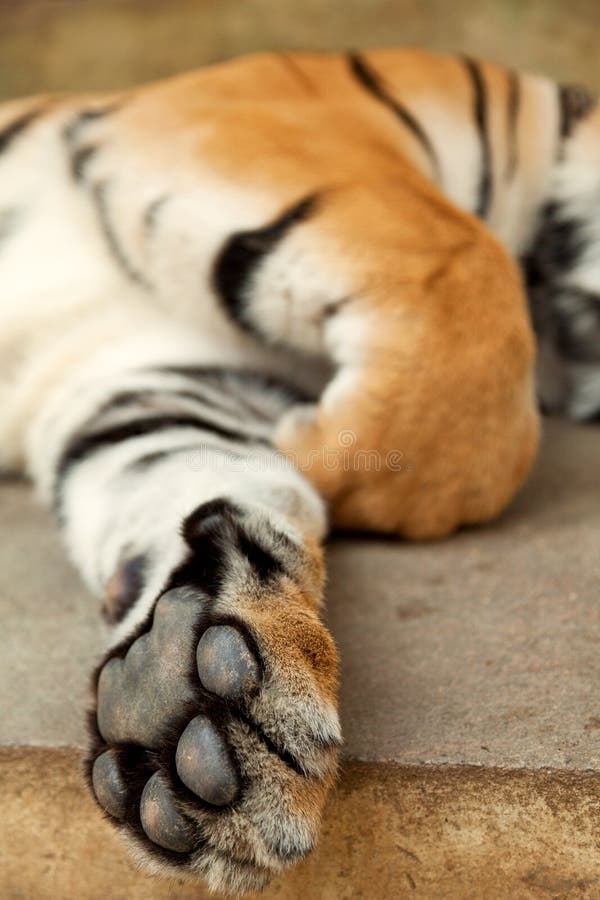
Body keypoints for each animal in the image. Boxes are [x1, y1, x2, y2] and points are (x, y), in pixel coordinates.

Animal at [0, 47, 598, 894]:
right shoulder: (270, 109)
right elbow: (461, 274)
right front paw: (319, 456)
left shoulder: (144, 365)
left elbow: (203, 469)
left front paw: (190, 699)